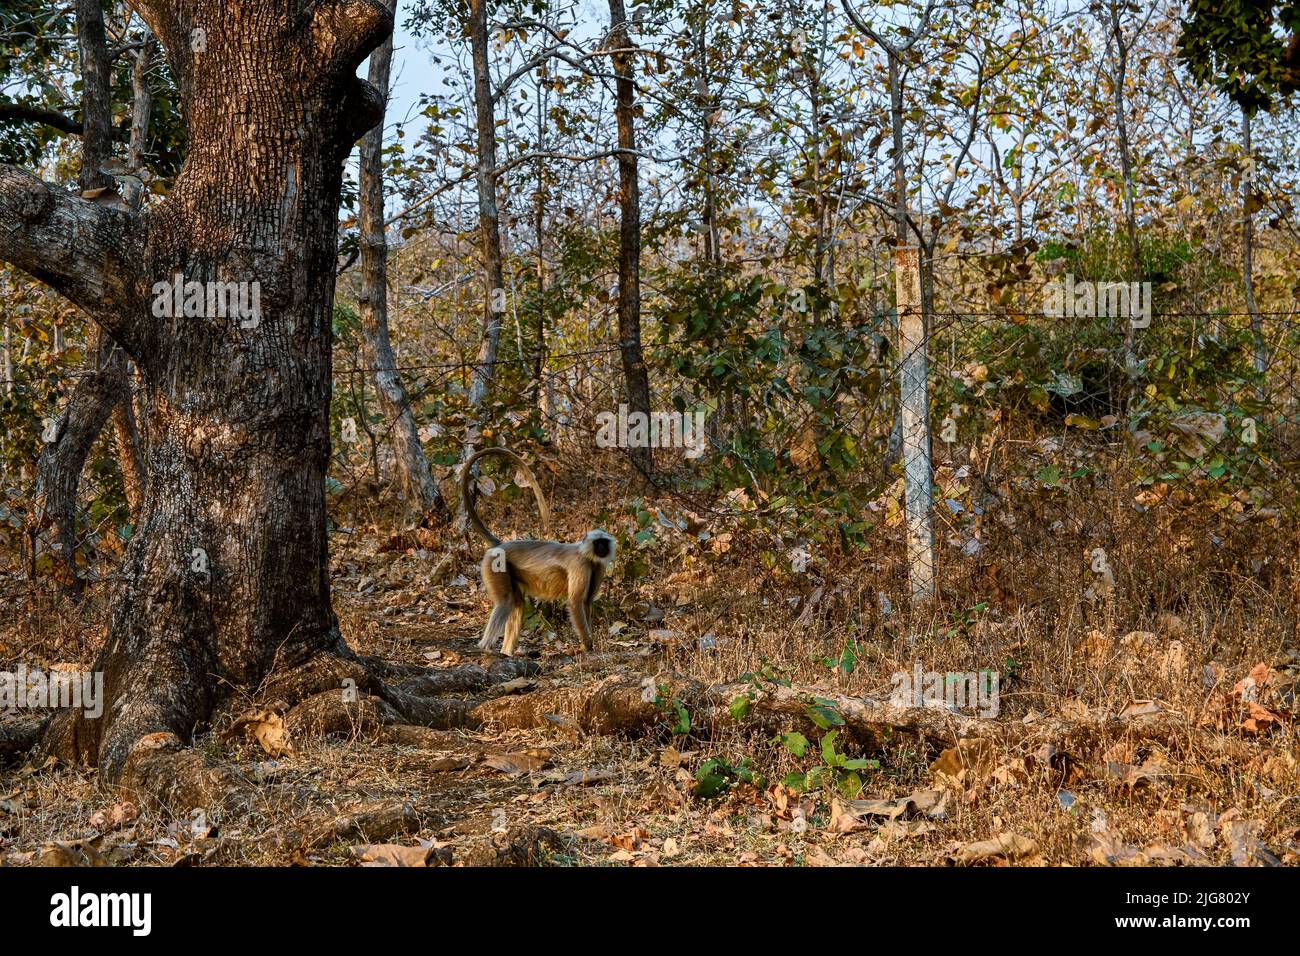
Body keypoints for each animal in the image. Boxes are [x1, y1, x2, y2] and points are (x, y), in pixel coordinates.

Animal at [460, 447, 617, 656]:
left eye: (604, 543)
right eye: (597, 542)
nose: (601, 548)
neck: (587, 554)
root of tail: (501, 544)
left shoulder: (597, 566)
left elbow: (587, 601)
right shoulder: (580, 564)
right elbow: (576, 602)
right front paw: (587, 645)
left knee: (517, 605)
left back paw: (506, 653)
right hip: (494, 565)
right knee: (506, 602)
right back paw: (486, 649)